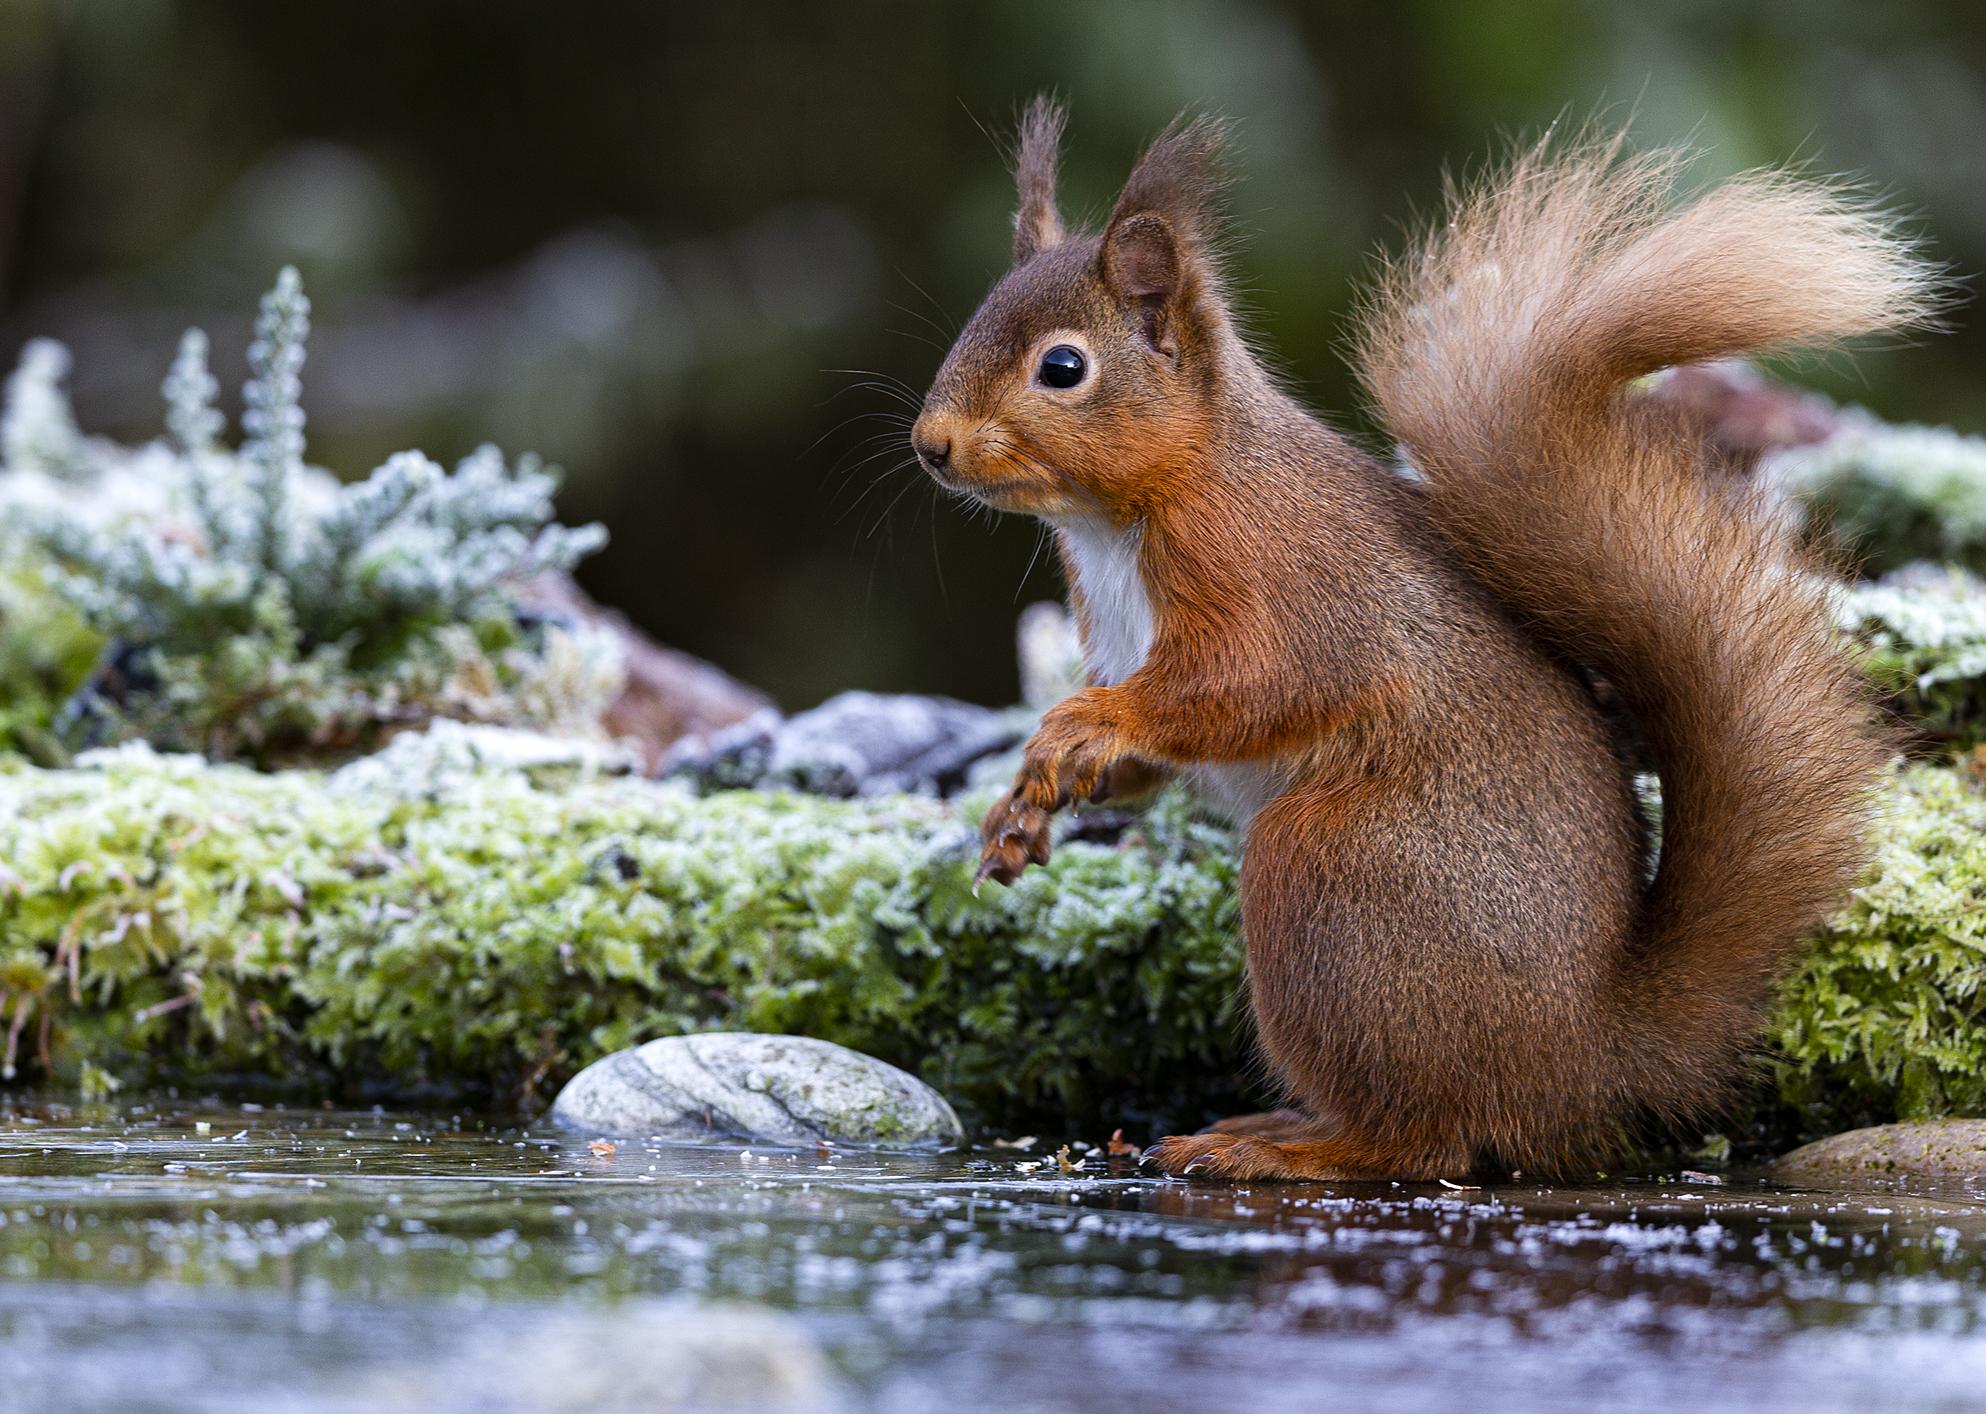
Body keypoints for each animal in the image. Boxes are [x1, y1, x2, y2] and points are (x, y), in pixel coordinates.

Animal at [909, 99, 1940, 1181]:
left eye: (1063, 368)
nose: (931, 445)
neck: (1122, 516)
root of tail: (1584, 1054)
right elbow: (1151, 760)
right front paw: (1029, 799)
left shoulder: (1278, 576)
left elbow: (1253, 685)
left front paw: (1081, 725)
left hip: (1335, 878)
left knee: (1427, 1135)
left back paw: (1291, 1147)